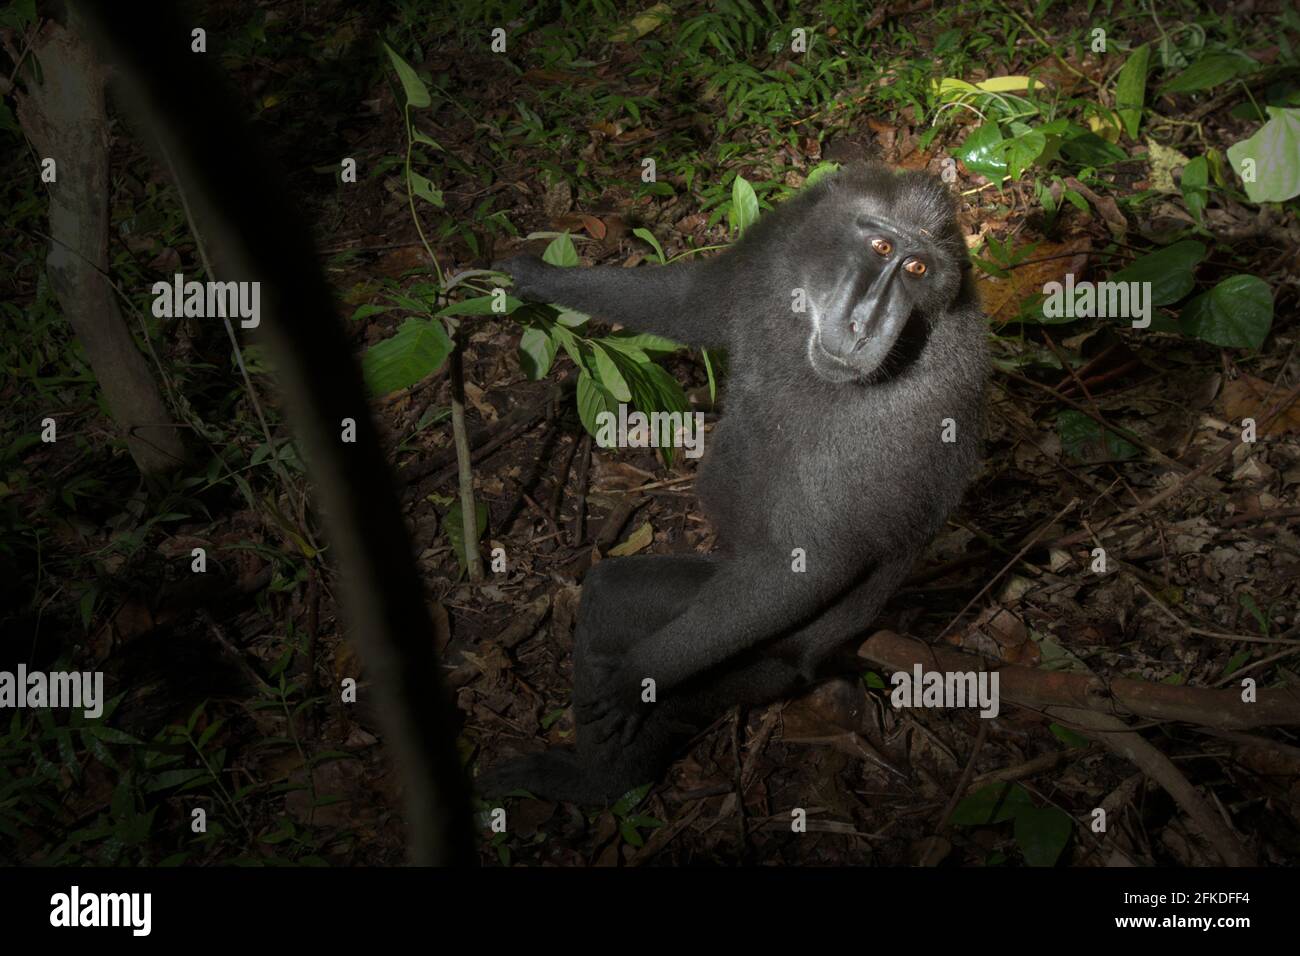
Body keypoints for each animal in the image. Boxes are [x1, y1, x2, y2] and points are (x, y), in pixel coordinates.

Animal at [479, 164, 988, 805]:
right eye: (881, 247)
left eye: (918, 270)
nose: (864, 324)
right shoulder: (776, 244)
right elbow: (690, 302)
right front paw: (534, 277)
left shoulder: (920, 411)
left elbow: (807, 564)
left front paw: (639, 679)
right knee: (608, 598)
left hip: (755, 655)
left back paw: (596, 784)